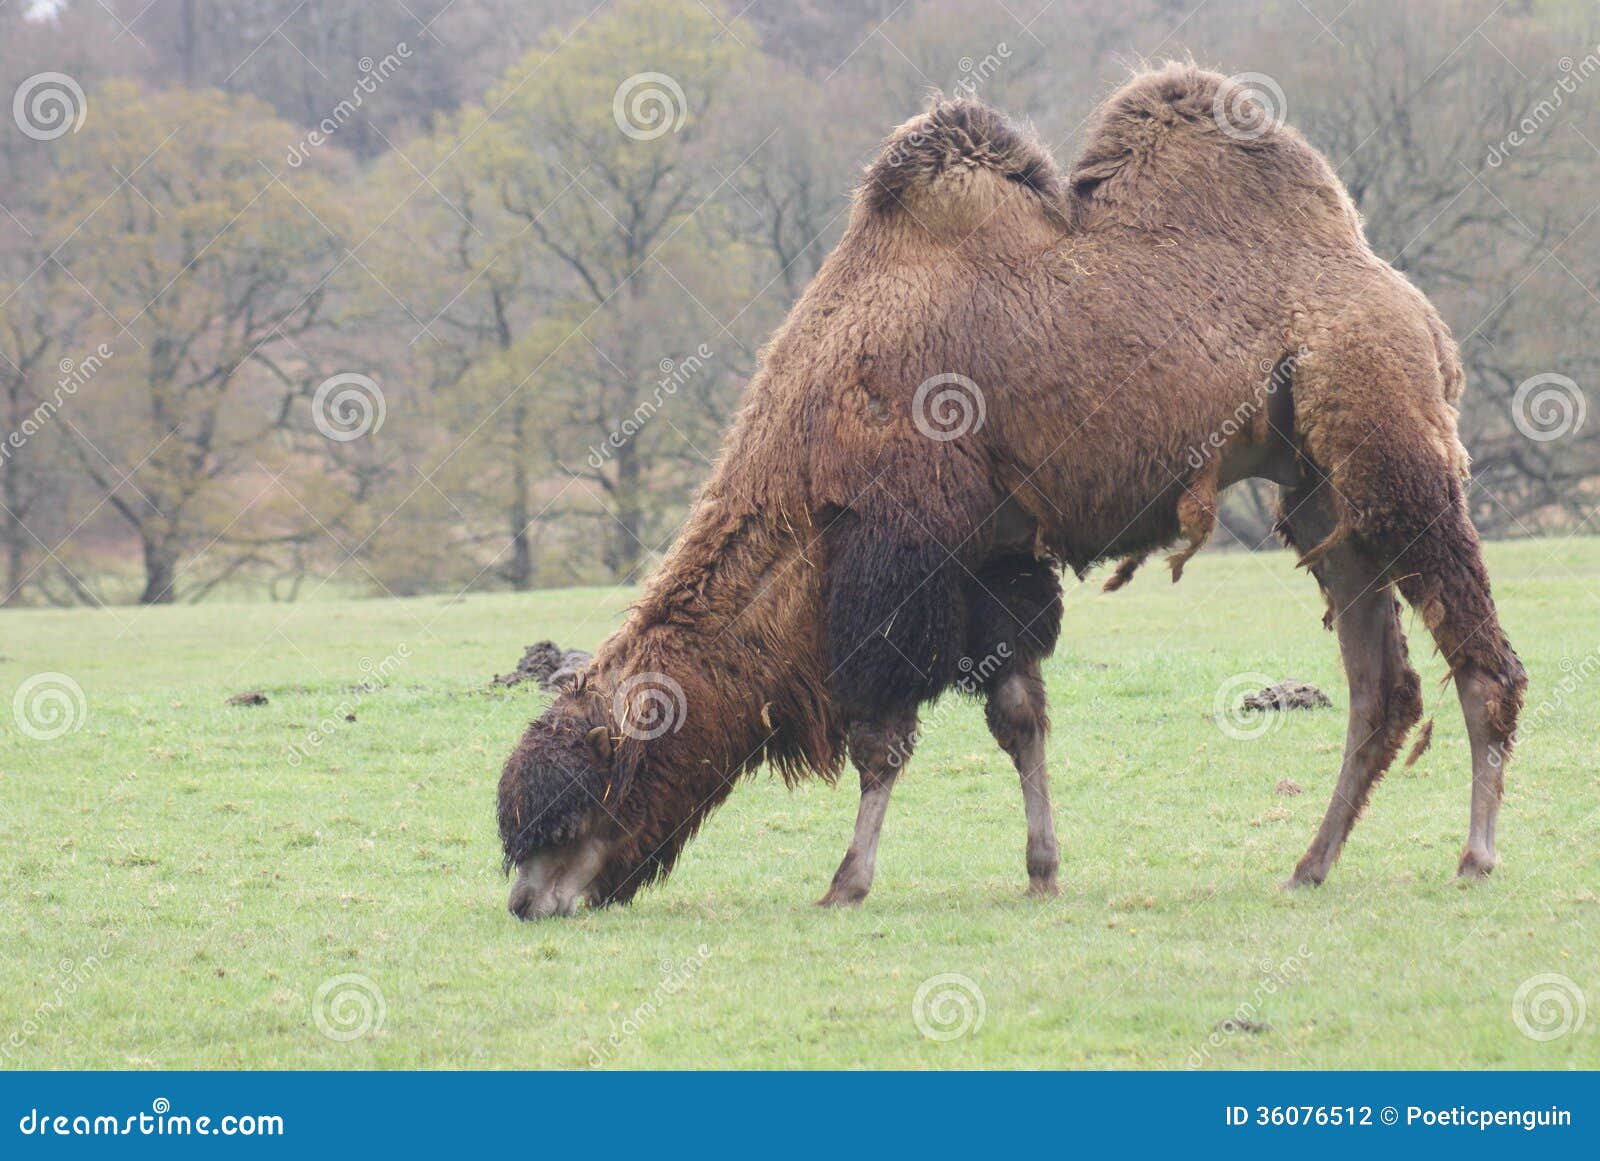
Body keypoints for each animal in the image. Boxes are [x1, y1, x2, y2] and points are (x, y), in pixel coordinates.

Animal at [496, 63, 1525, 919]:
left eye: (573, 804)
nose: (526, 901)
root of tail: (1411, 307)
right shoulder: (992, 557)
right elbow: (1019, 715)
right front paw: (1042, 869)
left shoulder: (901, 559)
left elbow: (882, 739)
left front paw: (847, 881)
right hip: (1319, 493)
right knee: (1380, 687)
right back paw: (1310, 864)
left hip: (1392, 453)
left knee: (1481, 662)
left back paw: (1474, 856)